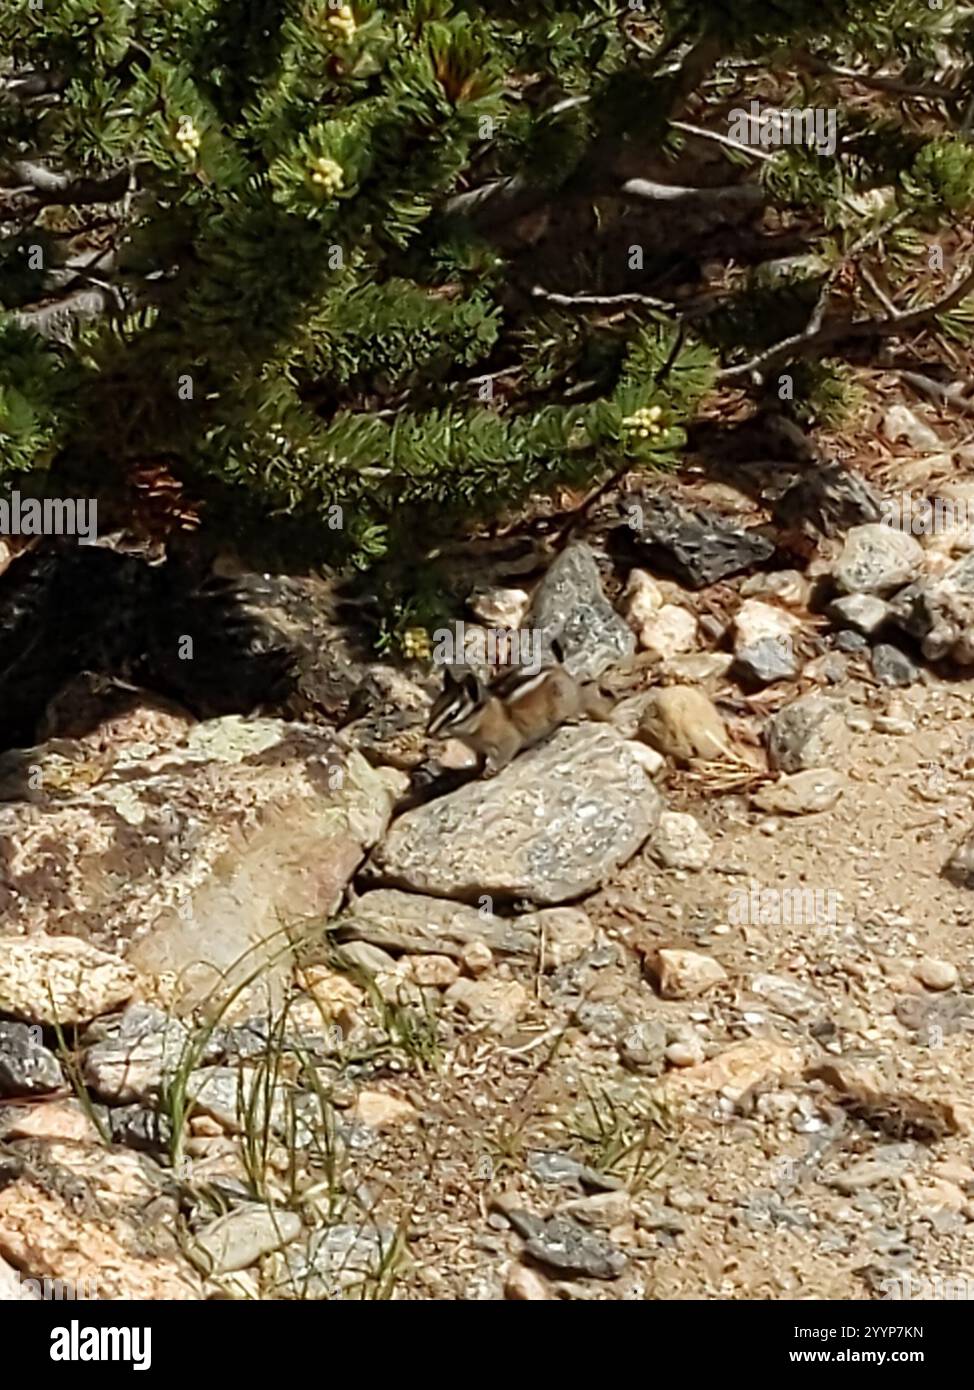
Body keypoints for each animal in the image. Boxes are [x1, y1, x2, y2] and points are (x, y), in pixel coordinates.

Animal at [426, 643, 613, 777]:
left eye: (453, 714)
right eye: (433, 708)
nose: (428, 733)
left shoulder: (506, 739)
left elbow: (505, 752)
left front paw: (490, 770)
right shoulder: (478, 748)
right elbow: (479, 759)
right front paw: (474, 770)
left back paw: (571, 717)